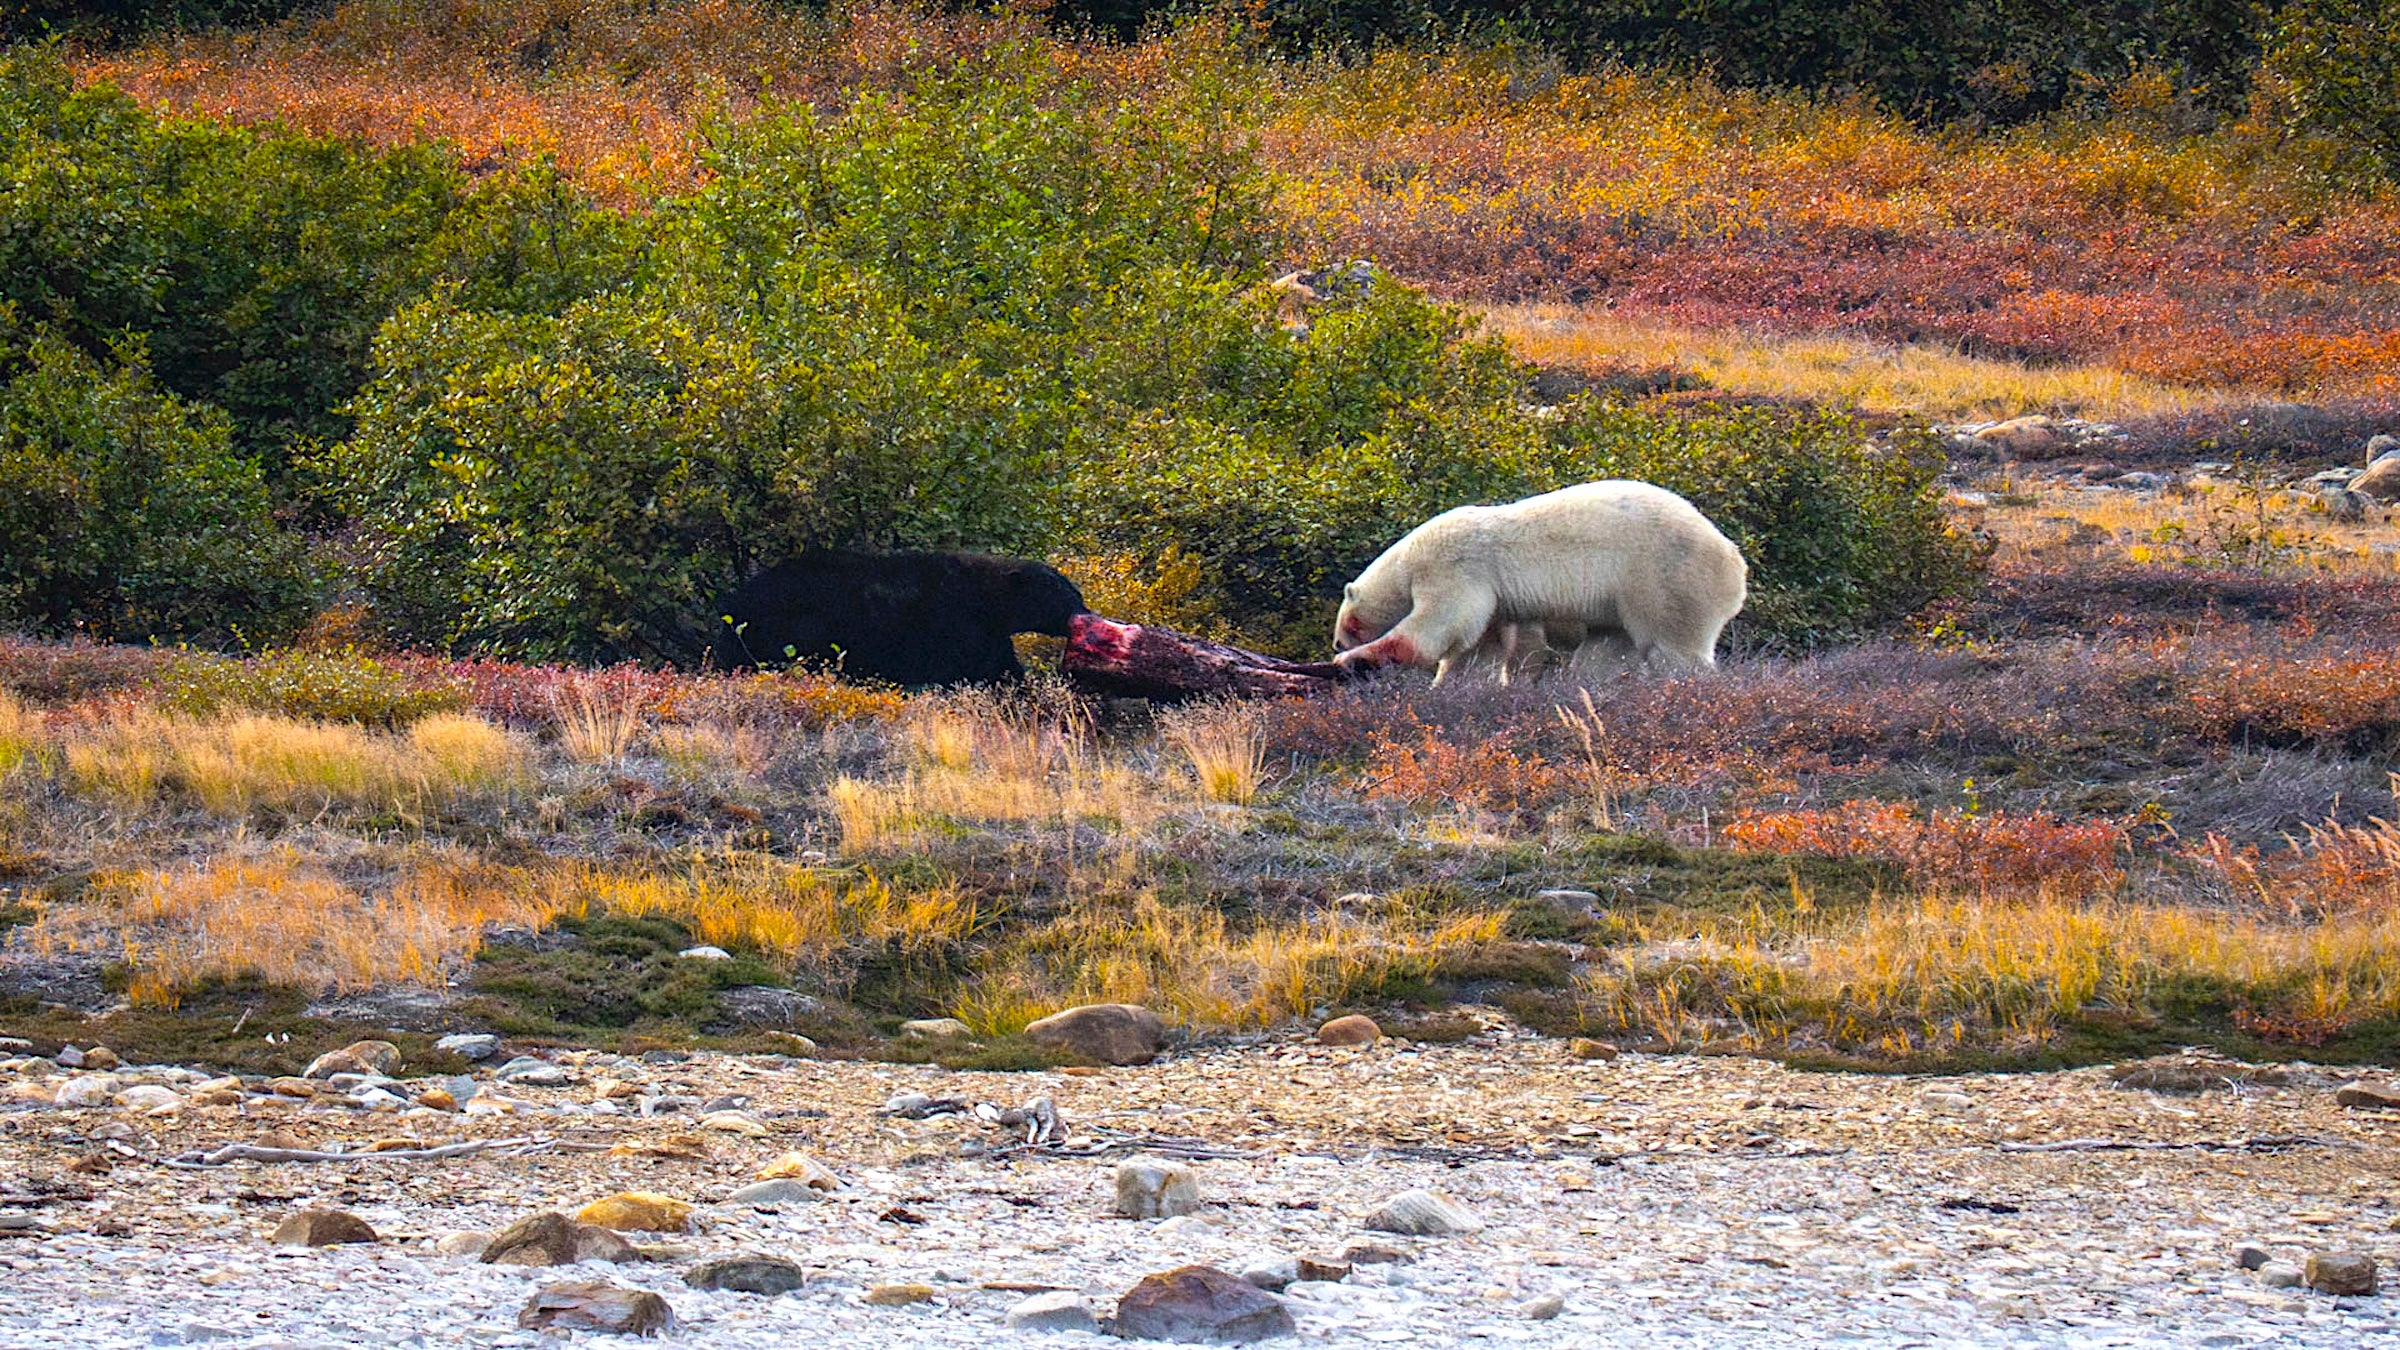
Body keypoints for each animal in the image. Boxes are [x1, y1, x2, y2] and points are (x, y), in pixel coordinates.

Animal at [710, 549, 1088, 687]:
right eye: (1060, 590)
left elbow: (1000, 664)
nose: (1085, 611)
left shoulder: (986, 633)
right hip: (780, 628)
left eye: (1072, 589)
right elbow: (978, 668)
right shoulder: (957, 624)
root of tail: (733, 601)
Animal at [1332, 480, 1747, 683]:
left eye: (1347, 623)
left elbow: (1432, 632)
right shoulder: (1495, 601)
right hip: (1621, 600)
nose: (1336, 643)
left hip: (1665, 579)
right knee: (1607, 647)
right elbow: (1474, 649)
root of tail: (1735, 561)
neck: (1408, 559)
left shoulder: (1455, 568)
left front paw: (1352, 659)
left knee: (1674, 649)